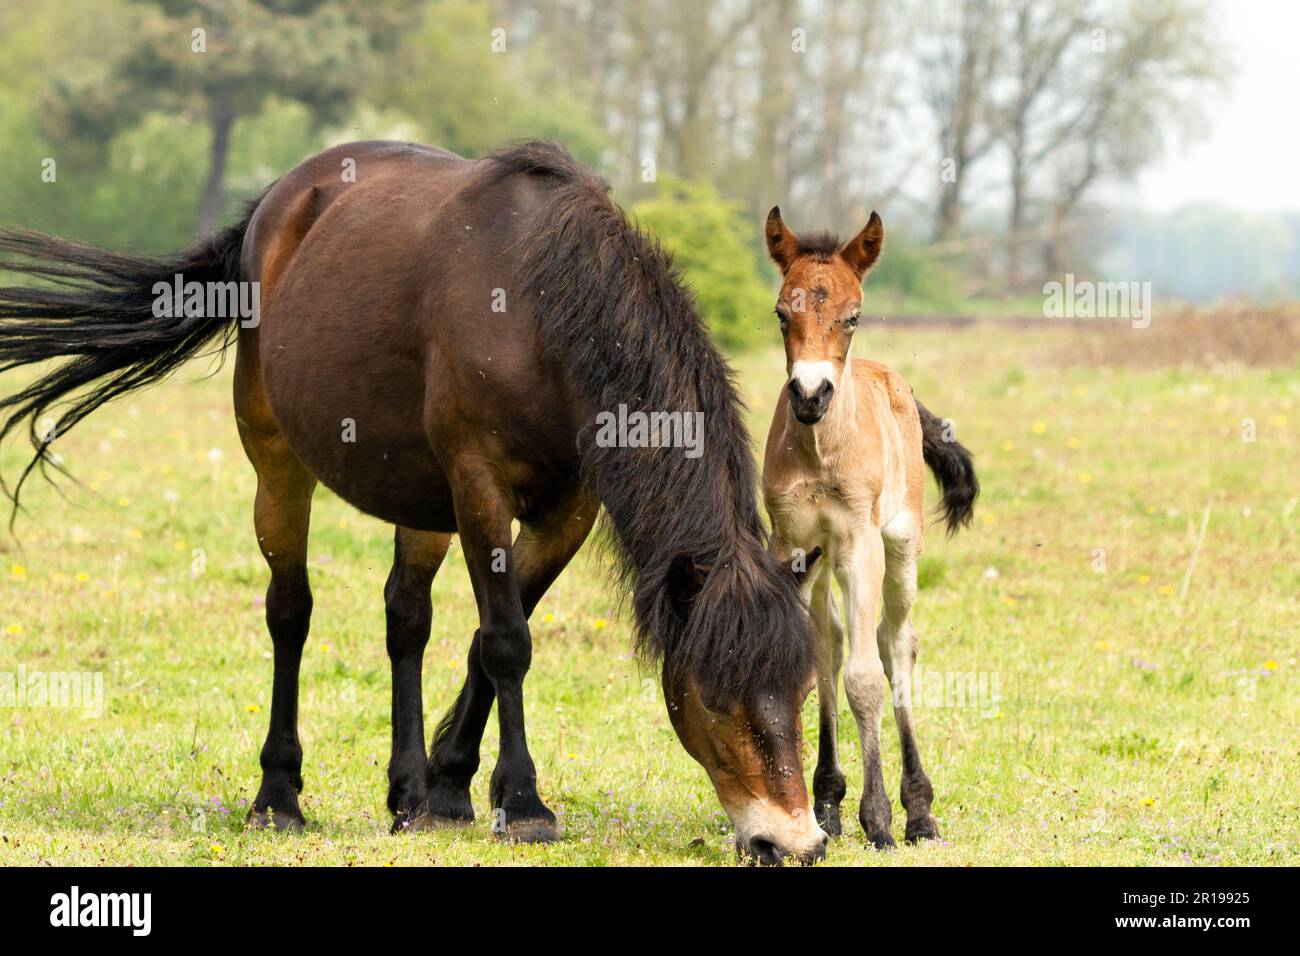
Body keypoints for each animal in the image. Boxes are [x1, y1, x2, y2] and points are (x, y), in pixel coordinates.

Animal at [0, 140, 829, 864]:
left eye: (801, 688)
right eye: (715, 697)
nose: (794, 842)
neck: (541, 313)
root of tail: (274, 205)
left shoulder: (567, 508)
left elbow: (486, 635)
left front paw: (448, 787)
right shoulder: (478, 484)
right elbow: (506, 641)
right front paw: (523, 804)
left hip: (418, 500)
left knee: (406, 618)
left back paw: (405, 792)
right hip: (276, 460)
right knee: (290, 611)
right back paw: (278, 796)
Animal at [759, 207, 978, 848]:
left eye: (852, 316)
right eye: (781, 313)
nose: (809, 395)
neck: (822, 452)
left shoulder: (860, 545)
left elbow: (864, 678)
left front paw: (878, 817)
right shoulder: (793, 546)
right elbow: (814, 658)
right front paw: (825, 803)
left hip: (900, 549)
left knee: (894, 643)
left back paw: (919, 810)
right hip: (825, 561)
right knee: (834, 643)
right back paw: (832, 797)